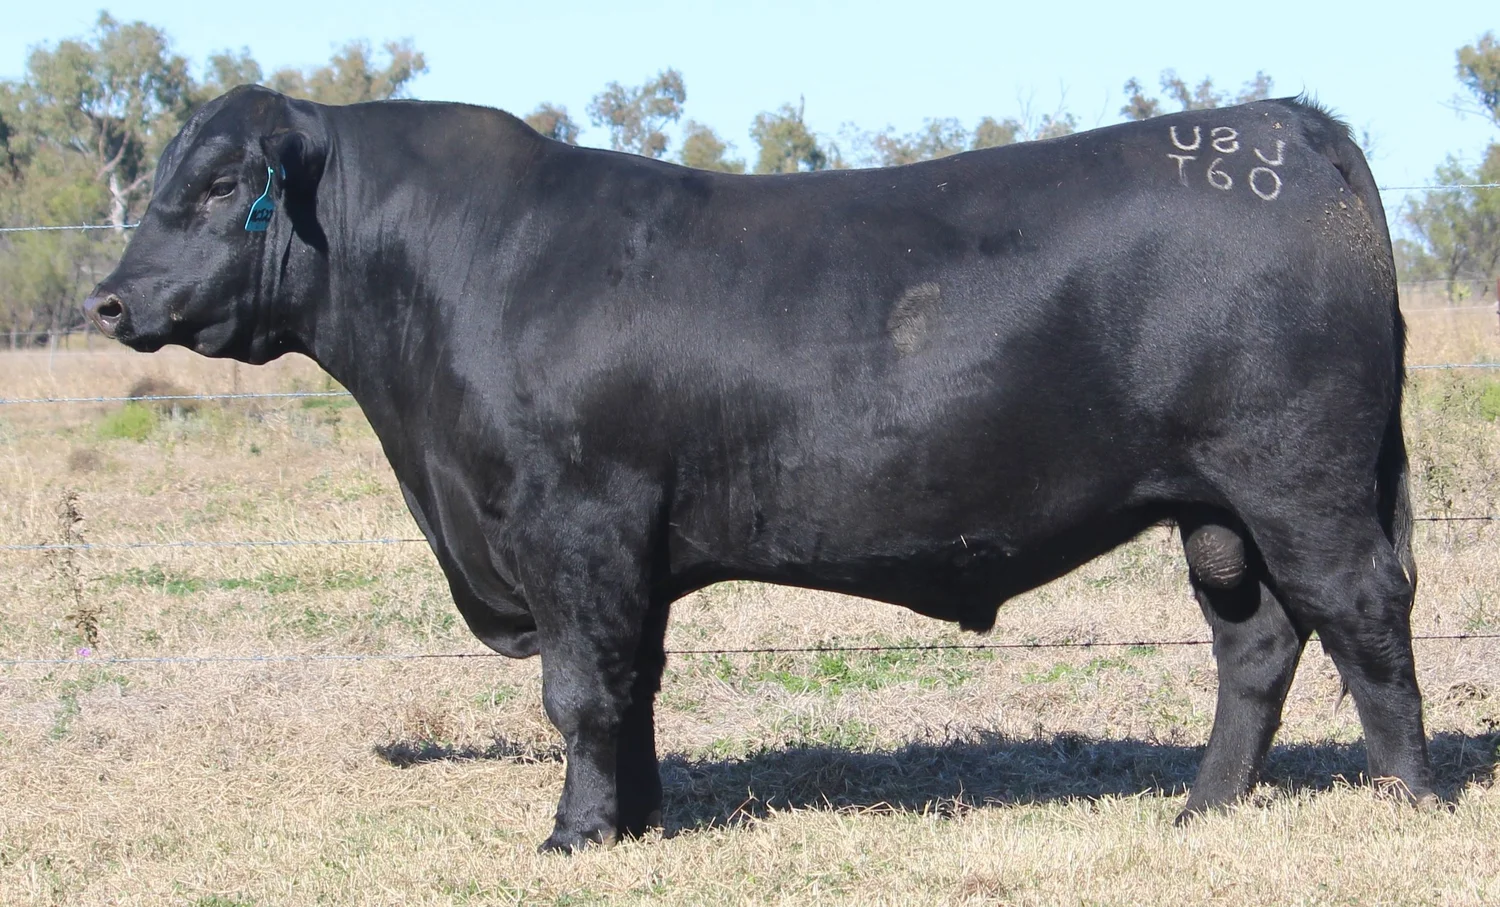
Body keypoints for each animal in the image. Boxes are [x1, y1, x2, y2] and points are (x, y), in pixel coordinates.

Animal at [82, 85, 1434, 852]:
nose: (108, 299)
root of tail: (1280, 124)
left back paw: (1411, 803)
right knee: (1256, 642)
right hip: (1217, 509)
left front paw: (572, 839)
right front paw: (636, 825)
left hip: (1299, 479)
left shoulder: (575, 526)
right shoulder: (619, 552)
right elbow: (631, 687)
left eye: (220, 184)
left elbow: (581, 693)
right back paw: (1204, 809)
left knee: (1366, 615)